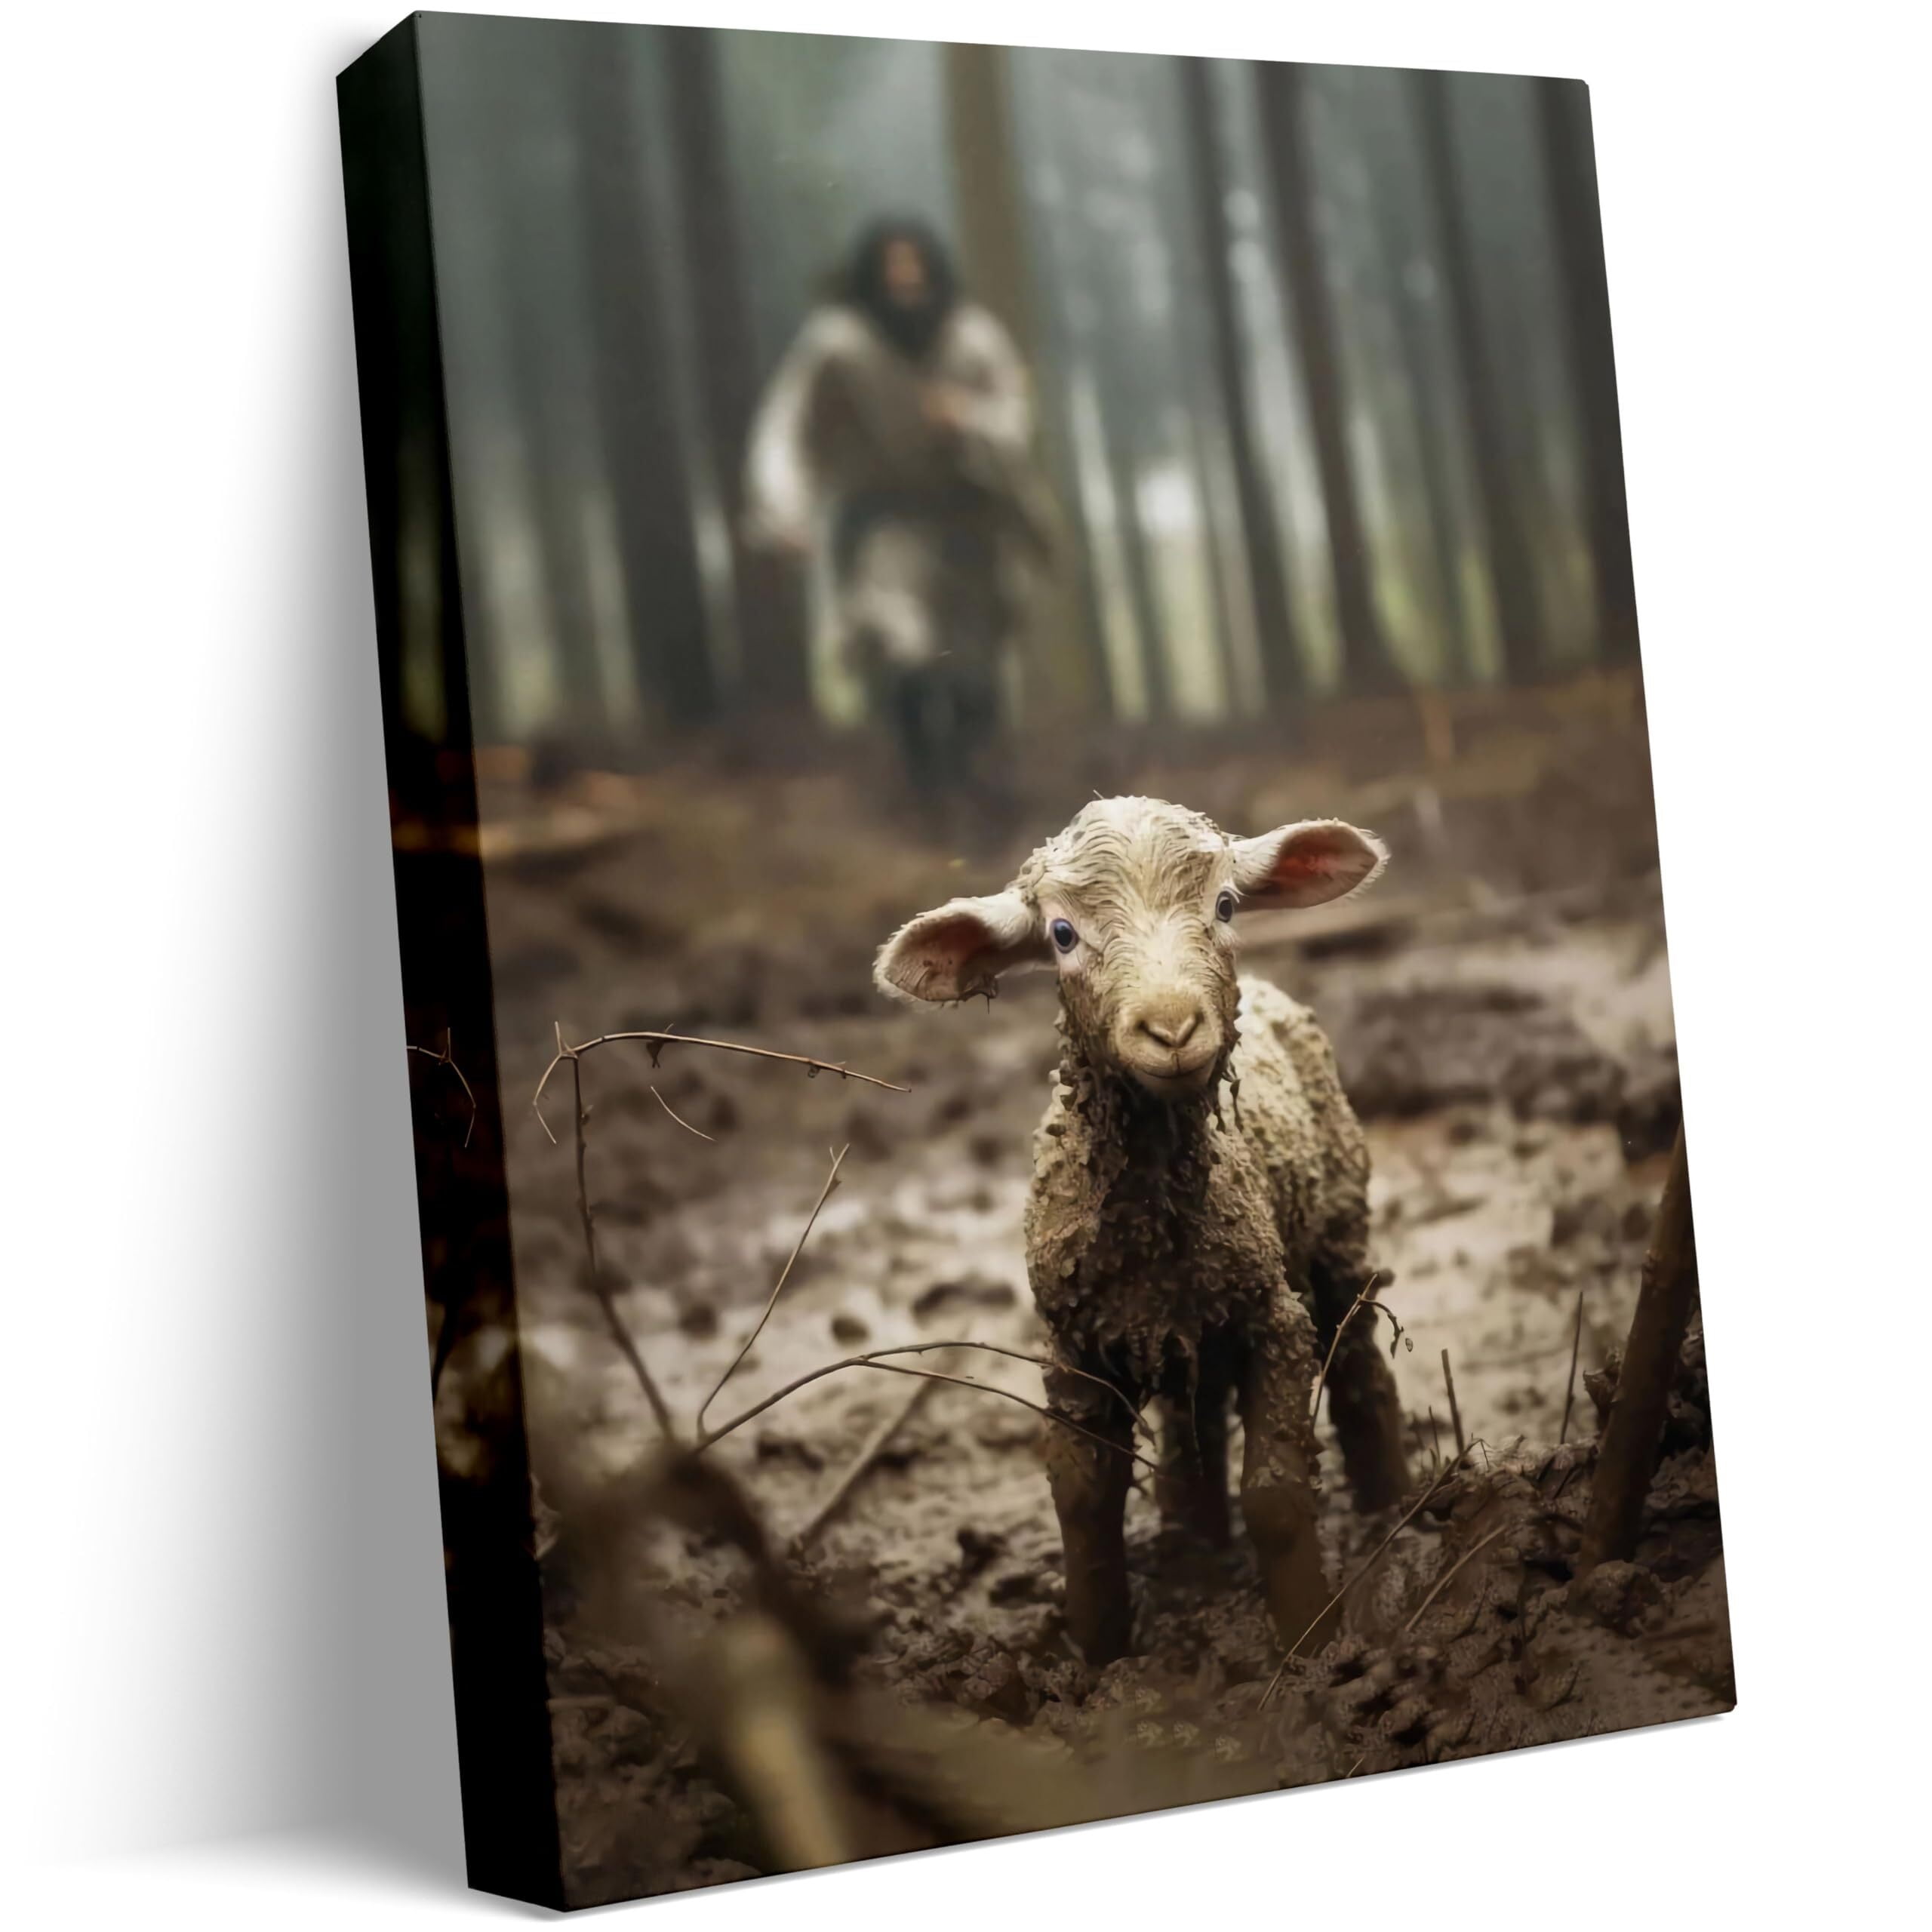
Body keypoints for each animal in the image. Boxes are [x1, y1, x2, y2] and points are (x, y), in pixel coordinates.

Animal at [875, 796, 1409, 1663]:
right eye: (1062, 934)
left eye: (1224, 905)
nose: (1171, 1027)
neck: (1155, 1220)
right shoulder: (1074, 1342)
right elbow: (1081, 1497)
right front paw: (1096, 1654)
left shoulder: (1272, 1318)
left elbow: (1276, 1495)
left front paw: (1309, 1643)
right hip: (1181, 1325)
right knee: (1193, 1422)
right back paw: (1194, 1539)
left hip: (1336, 1230)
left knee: (1360, 1360)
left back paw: (1390, 1504)